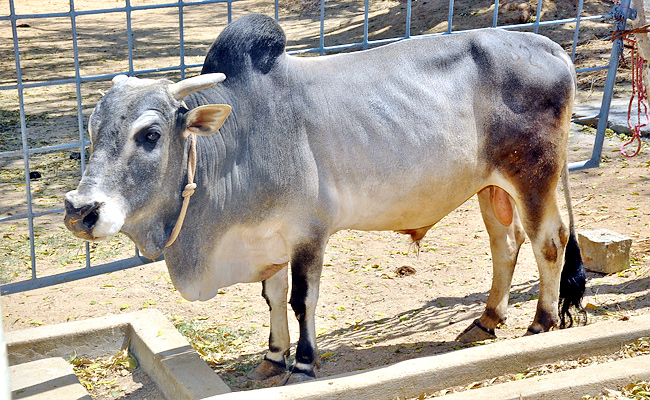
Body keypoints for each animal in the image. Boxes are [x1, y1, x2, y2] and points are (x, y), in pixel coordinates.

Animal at [64, 14, 586, 384]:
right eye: (92, 129)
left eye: (150, 134)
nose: (80, 211)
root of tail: (549, 46)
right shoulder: (267, 239)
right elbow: (272, 297)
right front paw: (274, 356)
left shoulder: (308, 234)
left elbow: (301, 300)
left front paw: (303, 363)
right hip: (490, 188)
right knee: (506, 245)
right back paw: (487, 320)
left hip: (533, 176)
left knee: (548, 241)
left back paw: (540, 323)